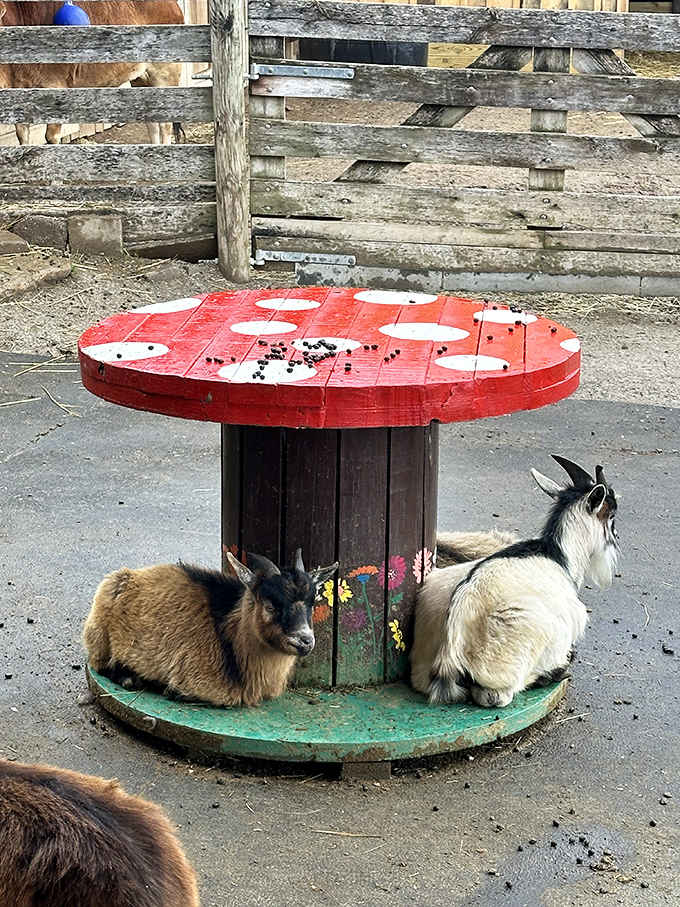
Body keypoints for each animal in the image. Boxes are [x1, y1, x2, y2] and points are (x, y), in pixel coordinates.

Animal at [83, 549, 338, 707]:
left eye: (313, 602)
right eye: (270, 605)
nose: (305, 640)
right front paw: (169, 689)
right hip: (100, 637)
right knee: (101, 664)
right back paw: (130, 678)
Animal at [413, 456, 619, 708]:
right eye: (611, 515)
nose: (616, 538)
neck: (559, 556)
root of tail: (450, 654)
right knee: (497, 696)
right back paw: (553, 672)